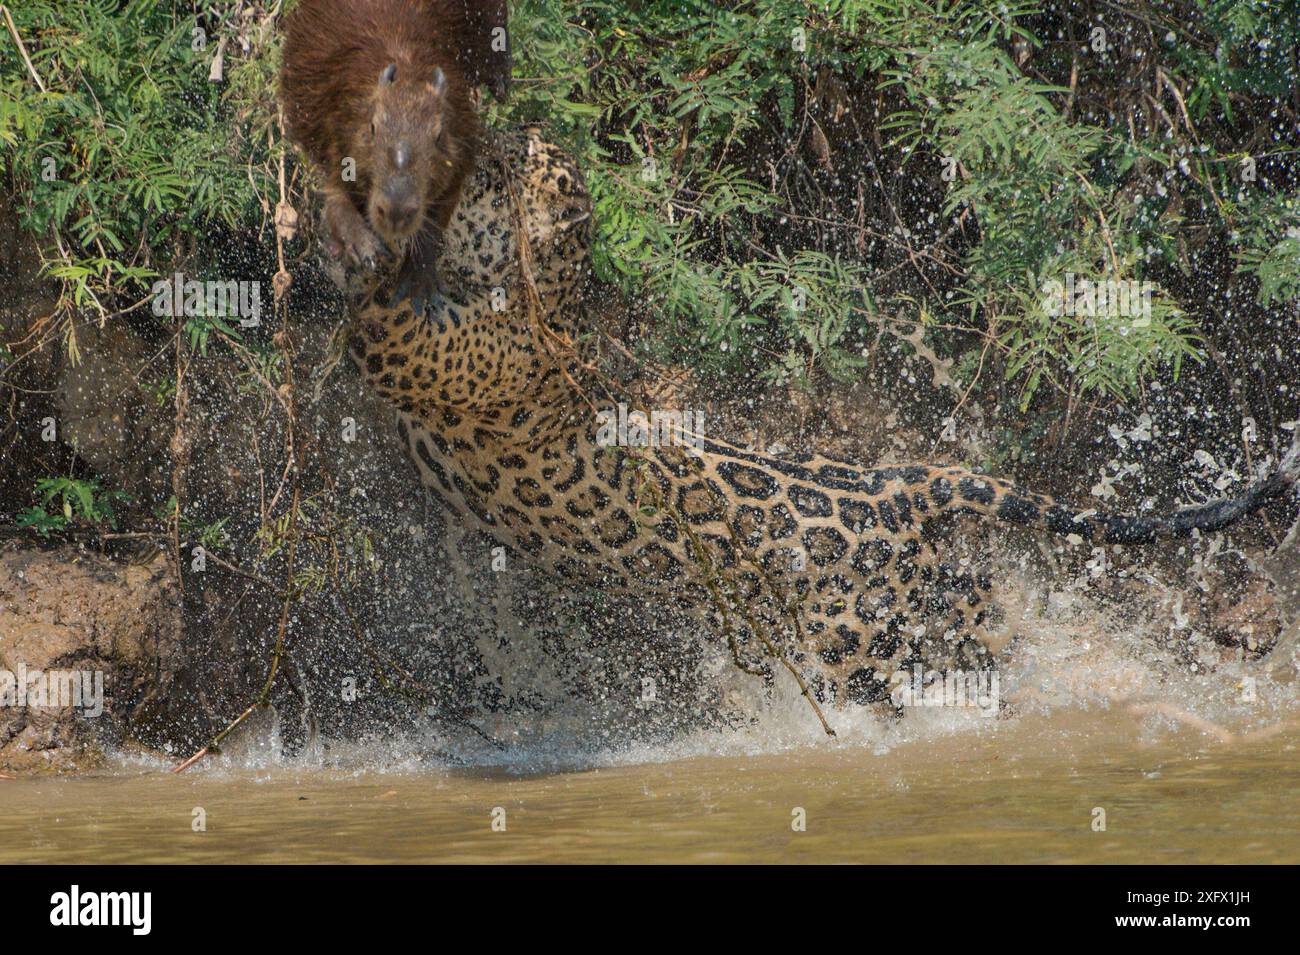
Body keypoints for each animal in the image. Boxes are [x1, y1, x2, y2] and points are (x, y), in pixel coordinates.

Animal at [346, 125, 1300, 711]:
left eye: (511, 163)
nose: (484, 129)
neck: (549, 289)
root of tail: (901, 481)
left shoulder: (411, 351)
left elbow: (374, 305)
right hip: (910, 601)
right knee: (971, 607)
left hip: (856, 646)